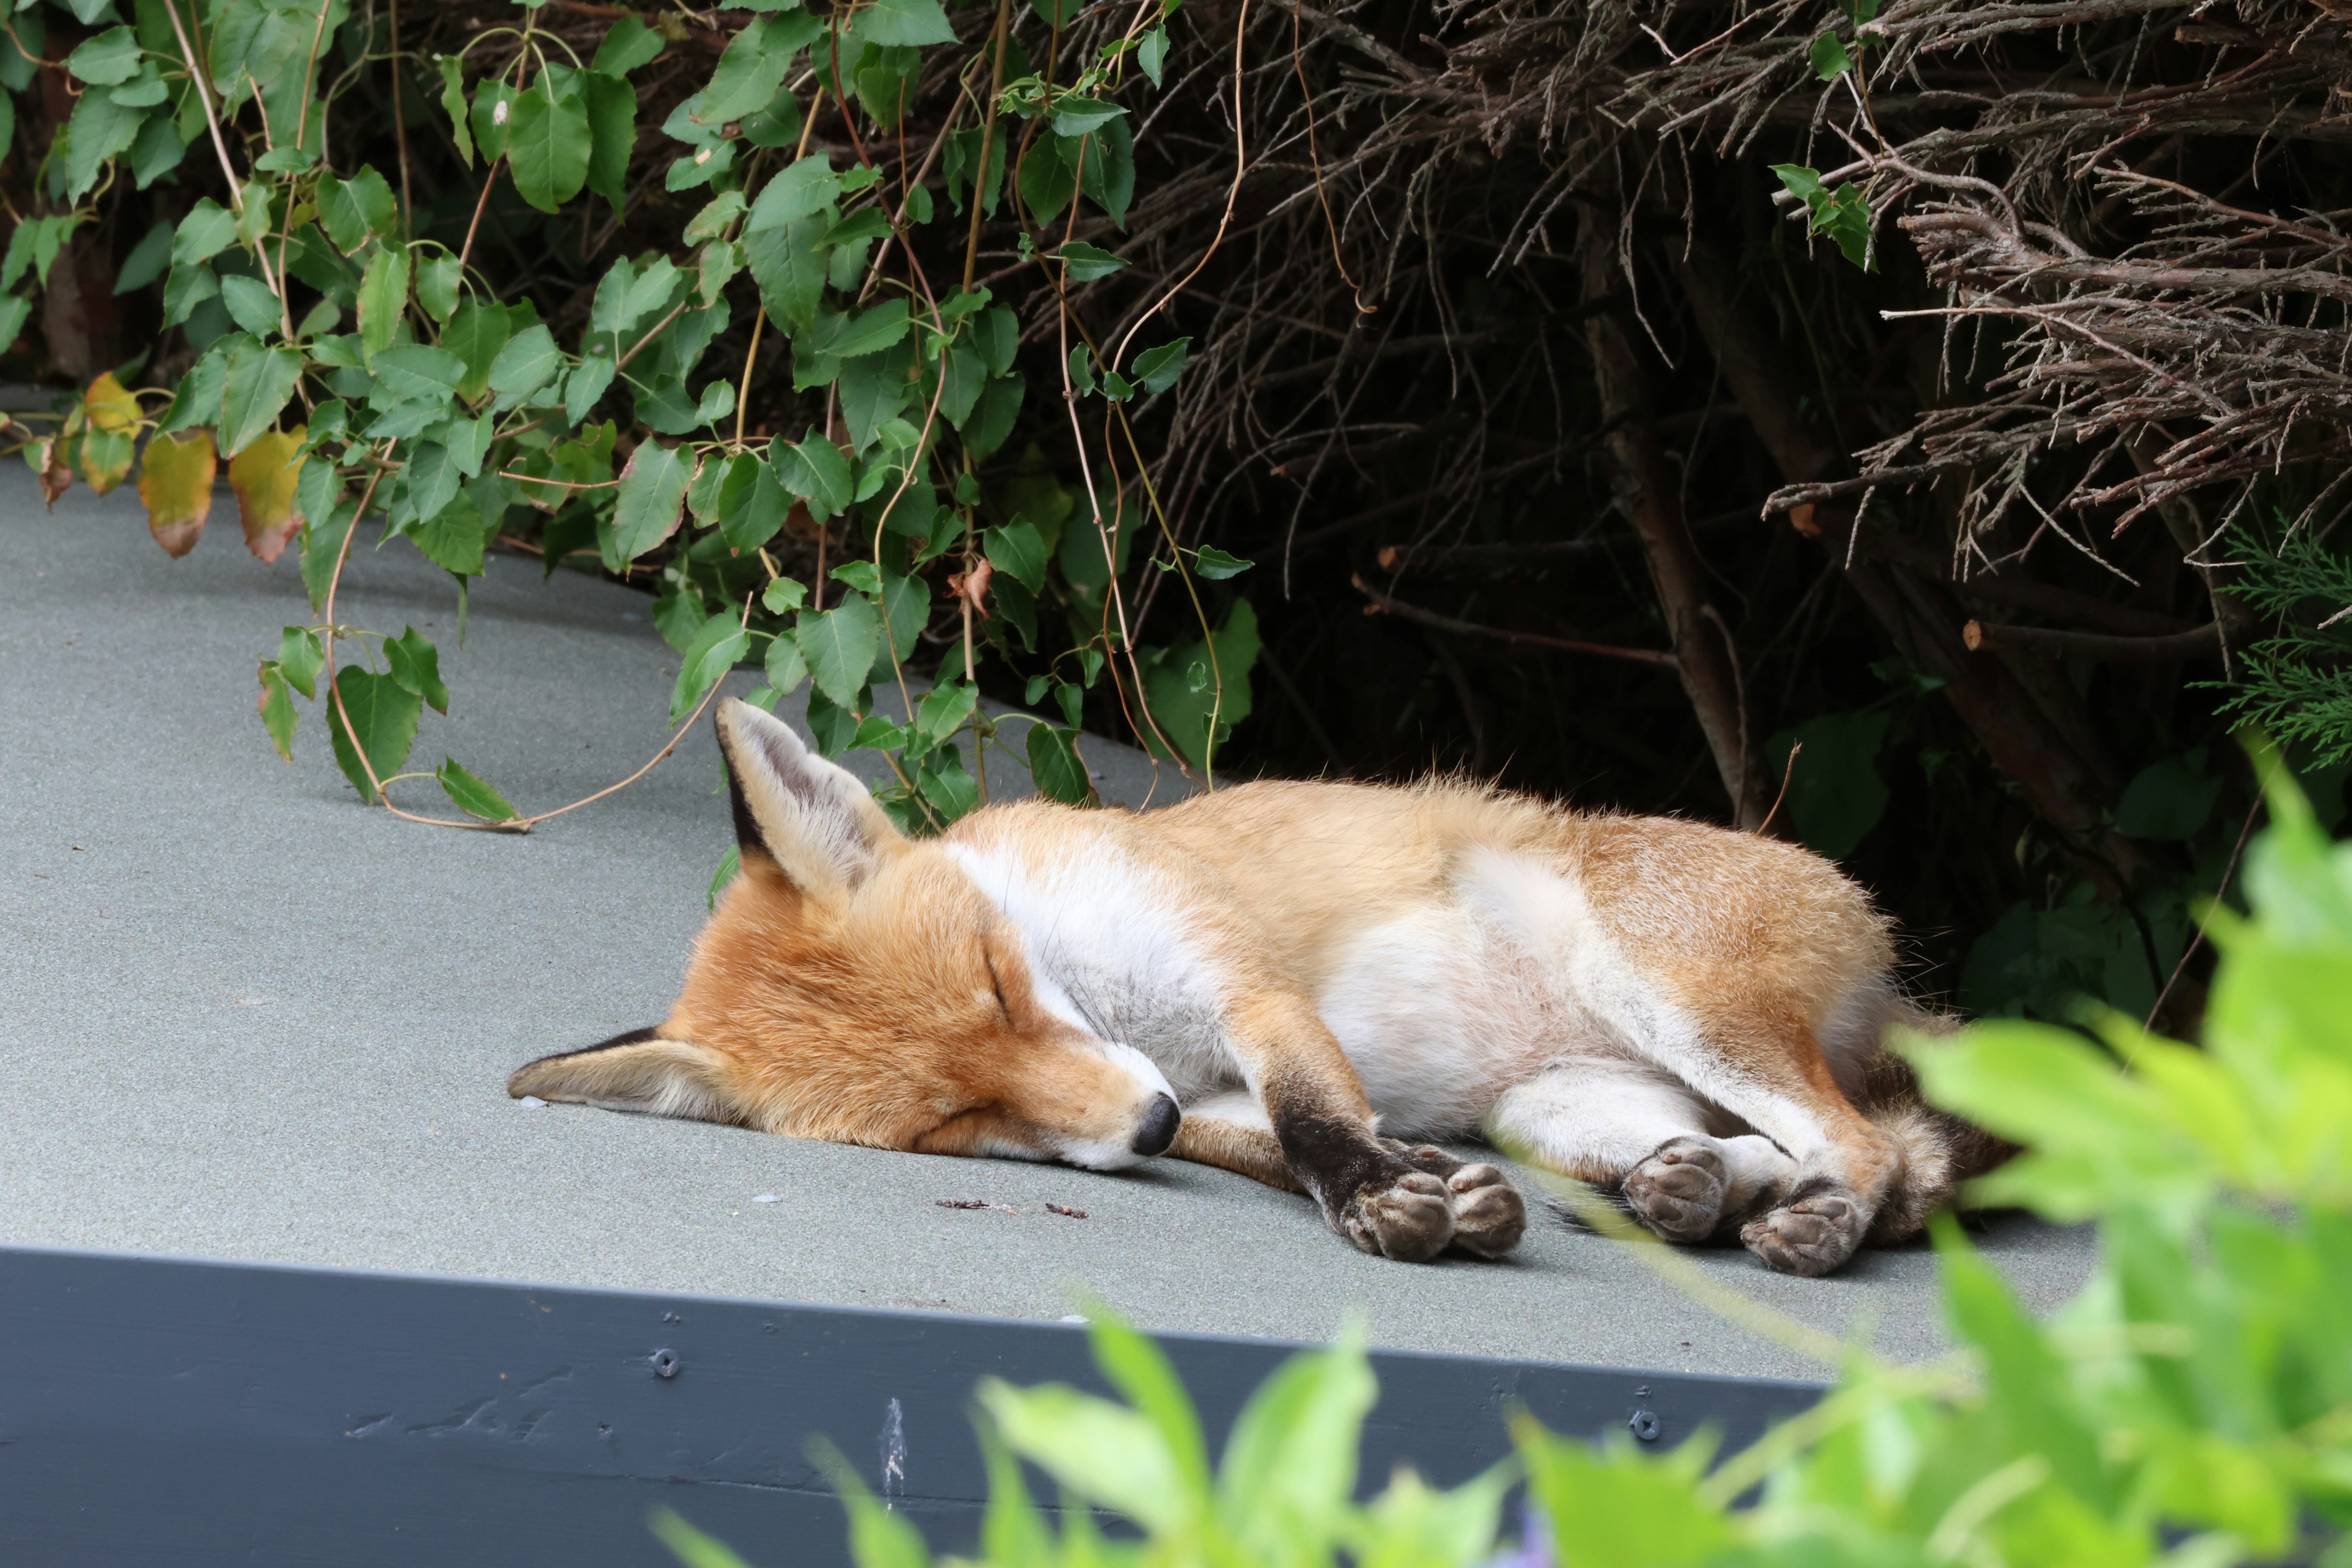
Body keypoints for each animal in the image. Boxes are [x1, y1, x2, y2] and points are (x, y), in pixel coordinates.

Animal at [508, 698, 2005, 1275]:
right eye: (955, 1123)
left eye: (999, 986)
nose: (1148, 1129)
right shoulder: (1206, 1089)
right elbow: (1278, 1143)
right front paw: (1428, 1192)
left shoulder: (1246, 984)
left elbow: (1312, 1113)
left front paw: (1381, 1195)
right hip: (1565, 1106)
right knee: (1809, 1150)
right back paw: (1698, 1194)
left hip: (1678, 1007)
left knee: (1876, 1151)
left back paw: (1819, 1223)